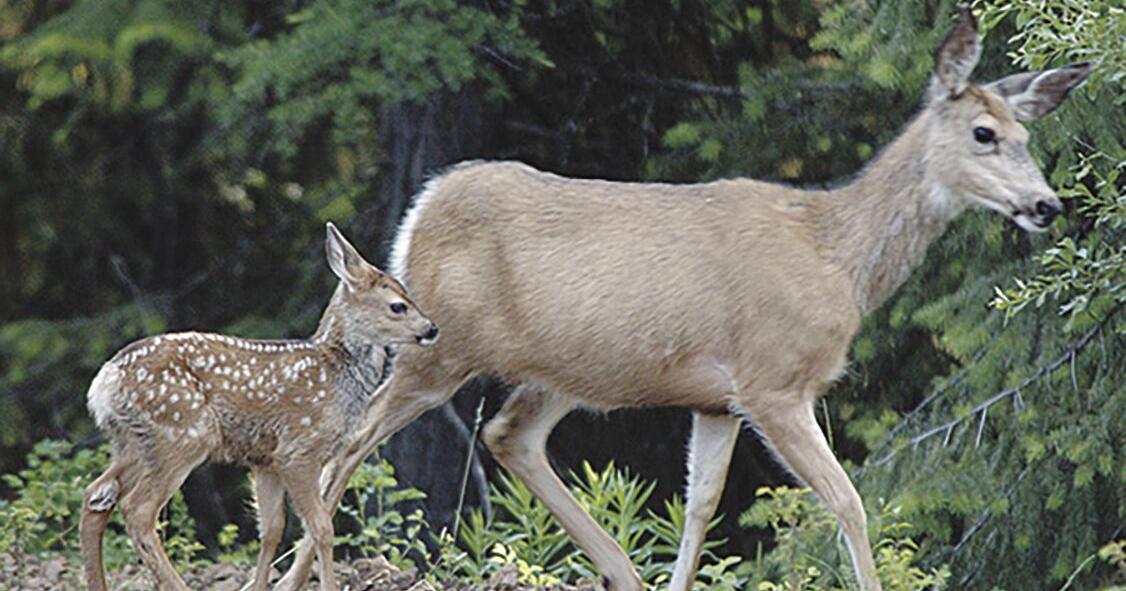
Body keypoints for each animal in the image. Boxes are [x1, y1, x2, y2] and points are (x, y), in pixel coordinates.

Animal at [78, 223, 438, 591]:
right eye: (398, 306)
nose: (431, 329)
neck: (335, 374)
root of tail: (105, 381)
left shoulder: (266, 461)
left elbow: (271, 531)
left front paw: (259, 585)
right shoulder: (298, 450)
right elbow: (322, 528)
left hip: (133, 443)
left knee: (96, 497)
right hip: (181, 435)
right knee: (137, 510)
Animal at [273, 8, 1090, 591]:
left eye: (1027, 134)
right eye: (984, 133)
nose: (1046, 205)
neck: (836, 257)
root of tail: (419, 211)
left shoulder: (716, 400)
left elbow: (702, 502)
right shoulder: (773, 380)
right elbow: (849, 500)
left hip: (559, 369)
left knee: (508, 436)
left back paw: (622, 572)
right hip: (436, 346)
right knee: (343, 448)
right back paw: (291, 578)